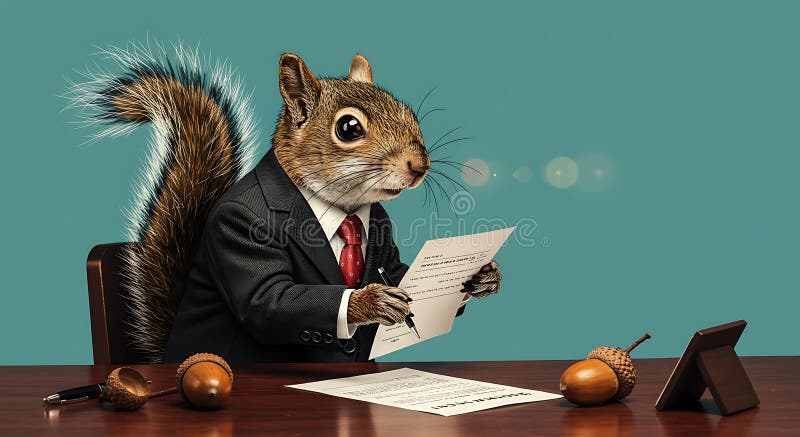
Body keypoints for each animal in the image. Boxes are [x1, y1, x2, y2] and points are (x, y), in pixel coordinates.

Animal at [68, 42, 502, 363]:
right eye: (348, 127)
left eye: (408, 111)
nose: (419, 165)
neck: (342, 207)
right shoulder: (241, 229)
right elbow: (270, 298)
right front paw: (370, 299)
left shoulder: (382, 231)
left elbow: (396, 268)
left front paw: (484, 275)